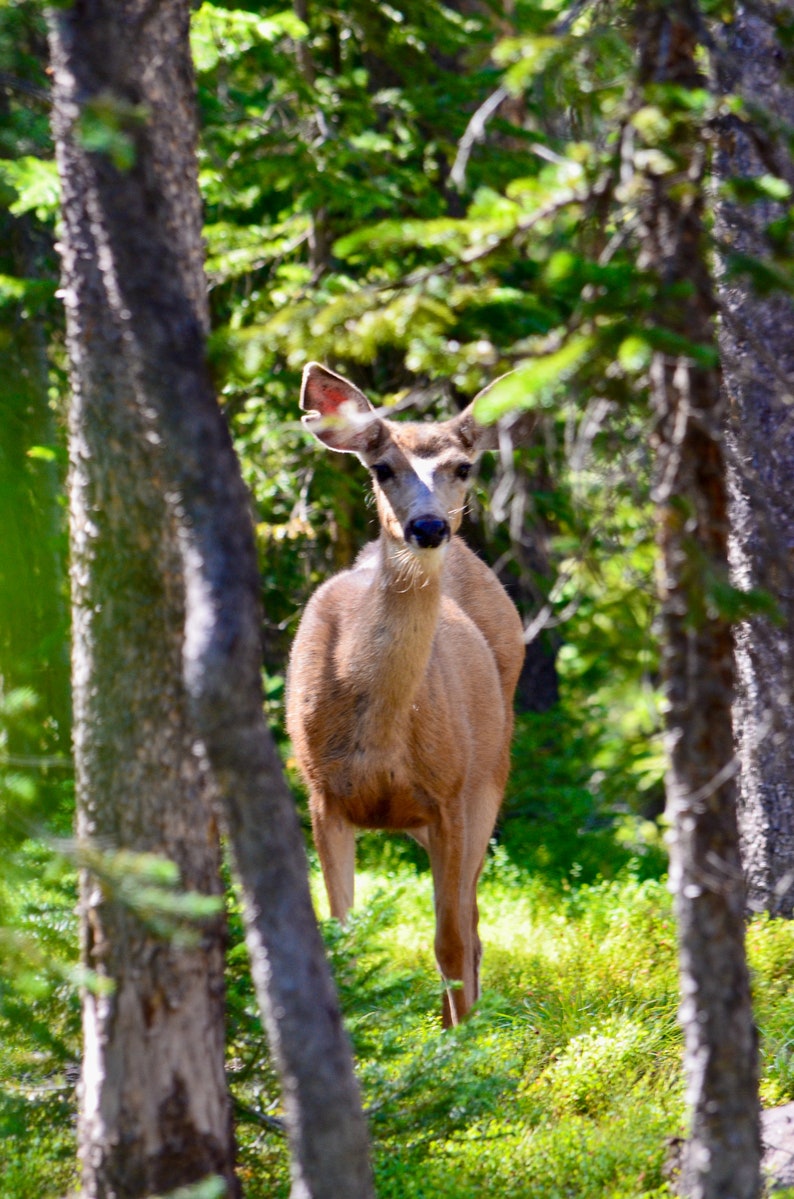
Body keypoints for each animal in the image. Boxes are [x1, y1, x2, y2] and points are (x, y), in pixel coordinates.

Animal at [286, 363, 524, 1026]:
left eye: (463, 466)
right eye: (381, 467)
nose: (428, 526)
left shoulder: (449, 793)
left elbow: (449, 941)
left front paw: (462, 1045)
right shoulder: (322, 795)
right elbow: (342, 935)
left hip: (489, 778)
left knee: (470, 921)